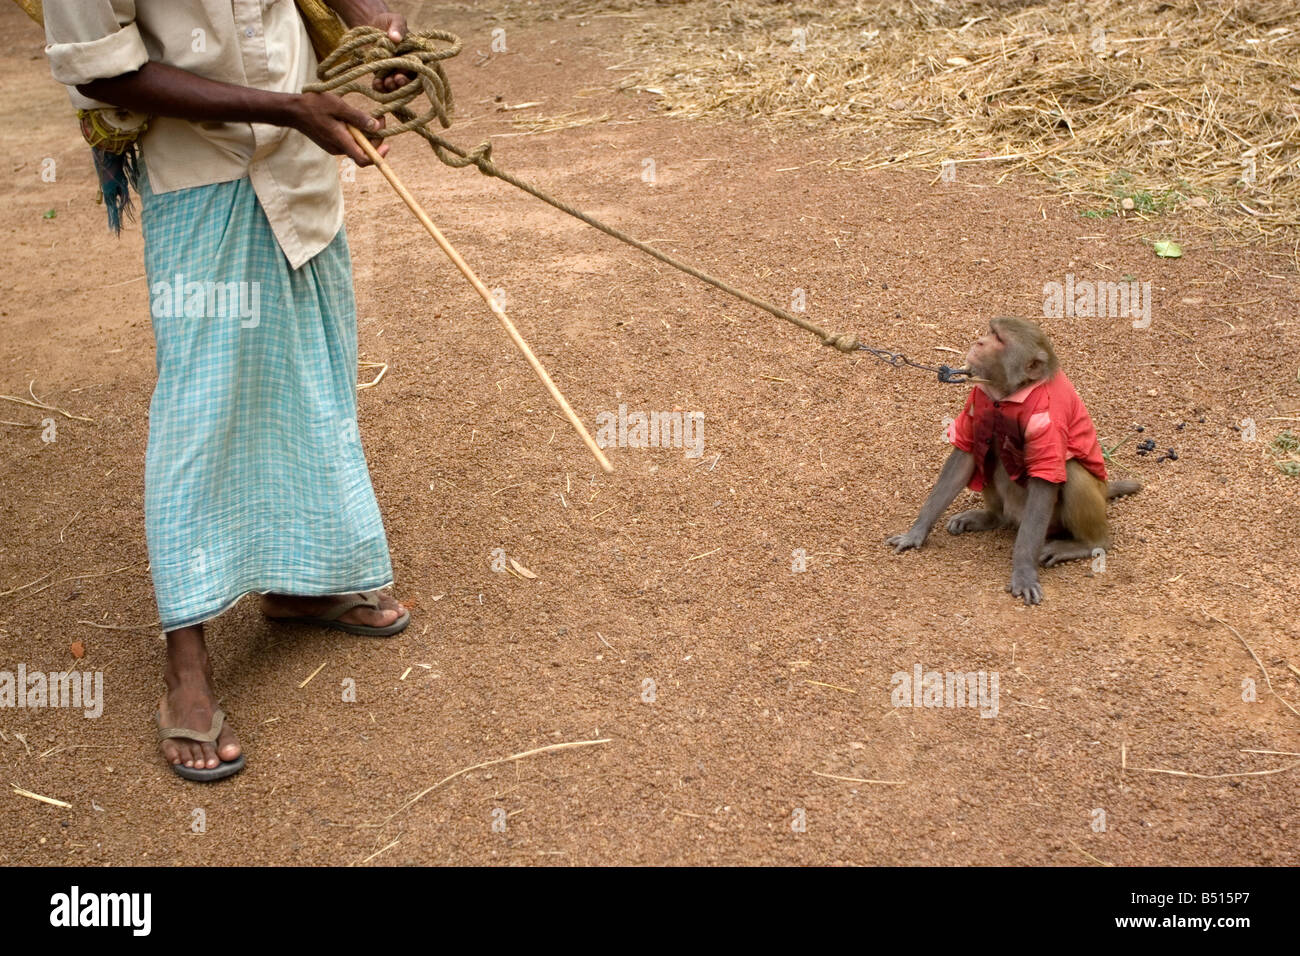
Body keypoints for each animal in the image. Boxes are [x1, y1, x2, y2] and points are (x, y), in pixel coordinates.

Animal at [885, 316, 1140, 605]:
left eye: (999, 339)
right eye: (990, 332)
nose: (979, 342)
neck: (1012, 393)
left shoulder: (1049, 418)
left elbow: (1046, 478)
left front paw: (1023, 572)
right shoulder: (979, 396)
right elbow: (966, 453)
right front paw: (916, 531)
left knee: (1070, 470)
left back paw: (1088, 544)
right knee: (987, 448)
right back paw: (992, 517)